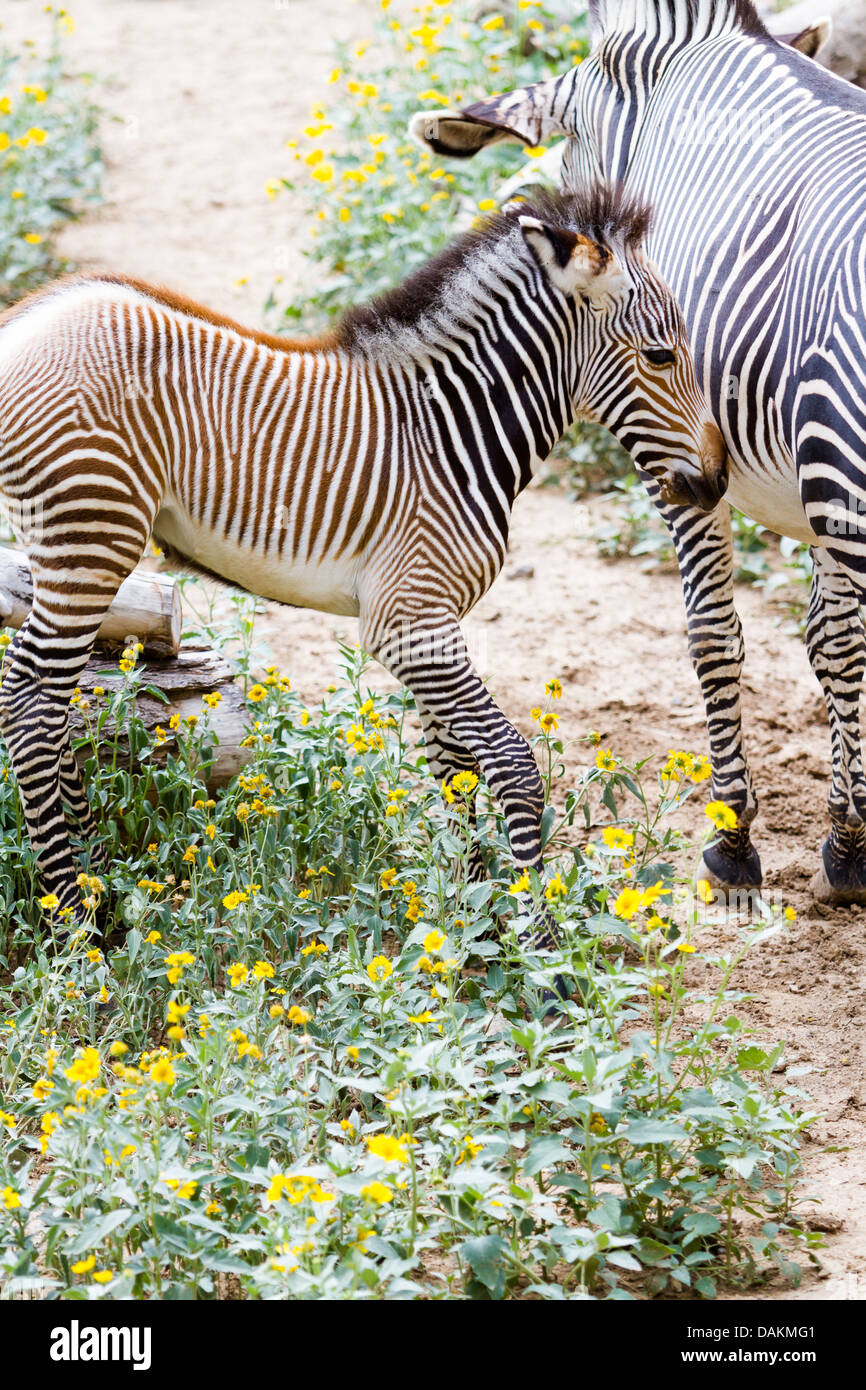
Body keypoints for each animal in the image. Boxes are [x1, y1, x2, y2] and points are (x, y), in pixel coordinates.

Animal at [0, 183, 726, 936]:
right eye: (662, 356)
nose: (716, 480)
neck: (449, 433)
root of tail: (25, 319)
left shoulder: (432, 622)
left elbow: (455, 766)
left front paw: (469, 924)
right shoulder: (409, 620)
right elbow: (510, 761)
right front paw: (540, 939)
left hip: (75, 546)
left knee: (49, 697)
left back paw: (95, 887)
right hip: (90, 536)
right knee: (30, 700)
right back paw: (70, 916)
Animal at [412, 0, 866, 907]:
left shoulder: (687, 460)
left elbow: (718, 632)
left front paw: (740, 839)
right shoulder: (804, 483)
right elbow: (824, 643)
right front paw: (844, 837)